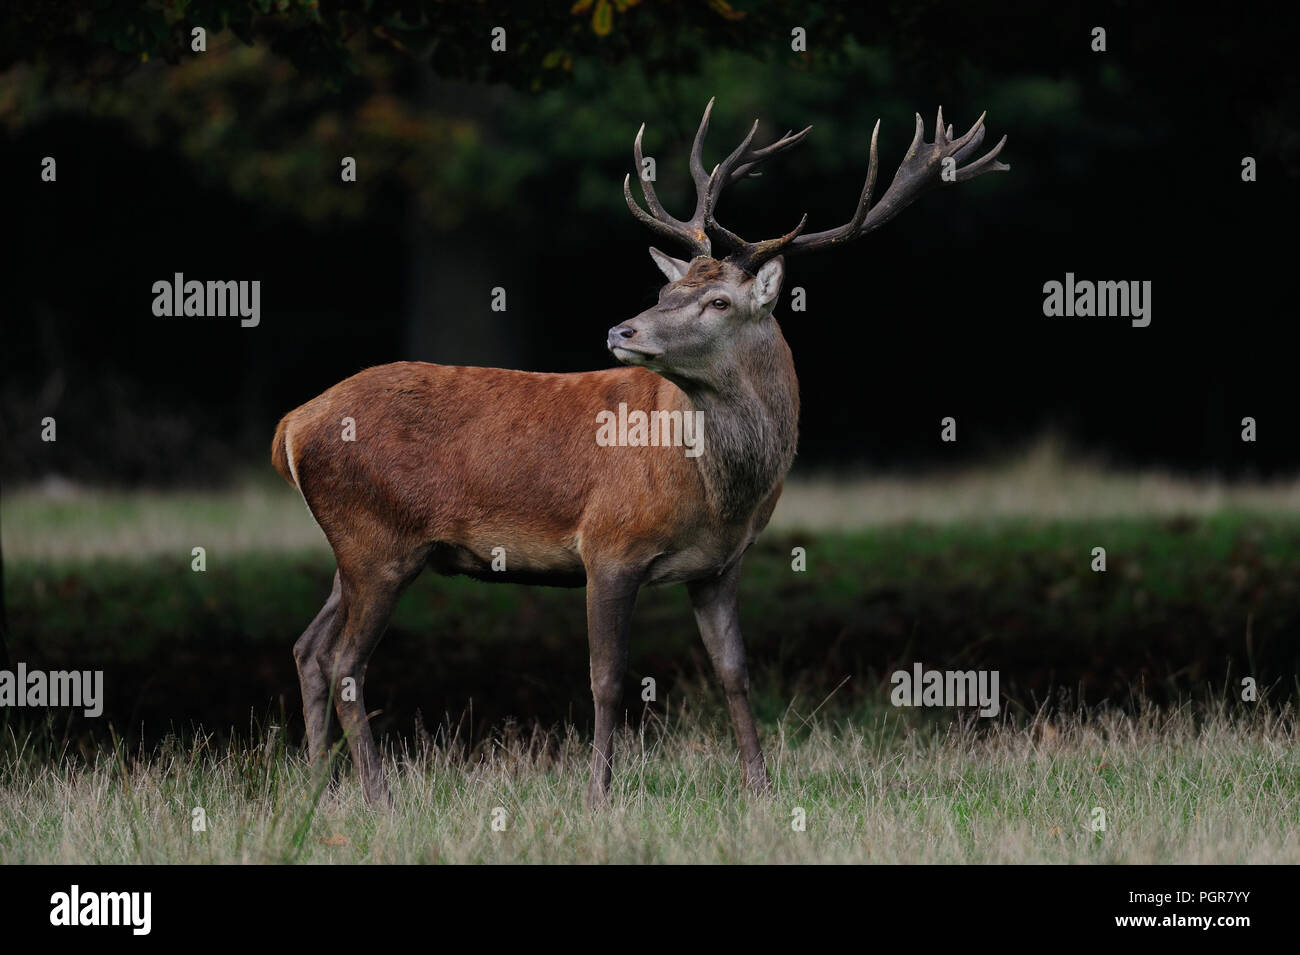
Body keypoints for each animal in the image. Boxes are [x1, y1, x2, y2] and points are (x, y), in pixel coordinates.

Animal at [271, 100, 1008, 808]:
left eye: (718, 300)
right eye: (663, 292)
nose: (620, 329)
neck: (716, 491)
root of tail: (292, 426)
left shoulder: (720, 565)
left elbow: (734, 670)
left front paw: (761, 788)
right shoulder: (608, 544)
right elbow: (606, 677)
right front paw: (598, 795)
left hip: (360, 548)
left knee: (309, 648)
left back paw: (320, 793)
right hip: (378, 539)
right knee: (345, 661)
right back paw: (379, 796)